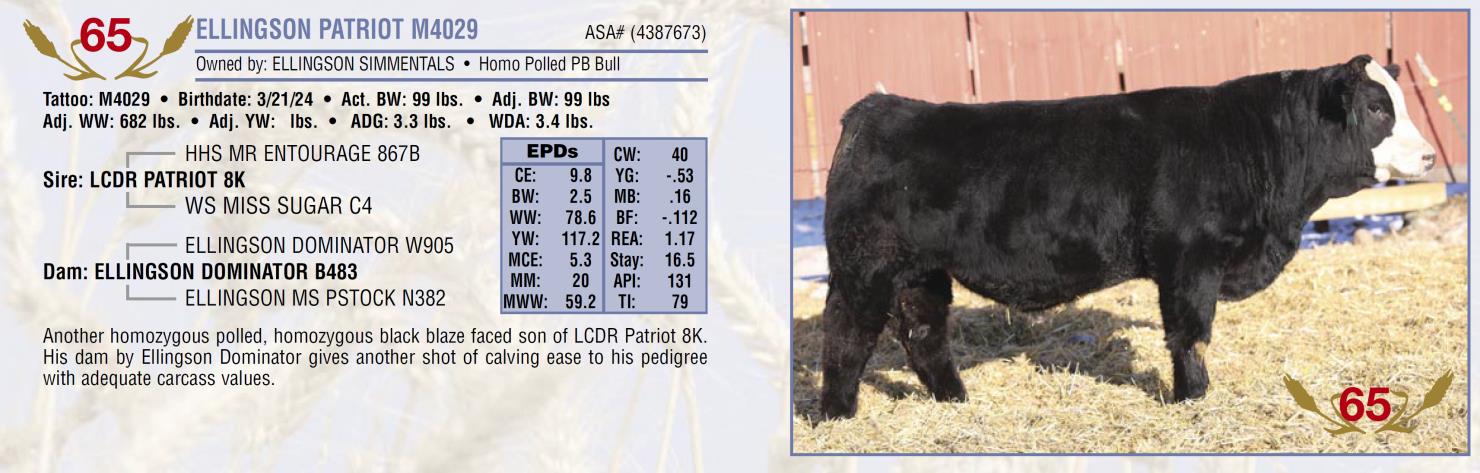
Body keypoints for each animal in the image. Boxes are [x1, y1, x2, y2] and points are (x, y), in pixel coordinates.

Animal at [818, 55, 1436, 420]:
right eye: (1377, 108)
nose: (1431, 156)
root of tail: (875, 108)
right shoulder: (1191, 260)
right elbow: (1191, 335)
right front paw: (1192, 399)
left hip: (921, 271)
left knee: (924, 333)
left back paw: (957, 402)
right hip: (864, 267)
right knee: (847, 337)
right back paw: (836, 414)